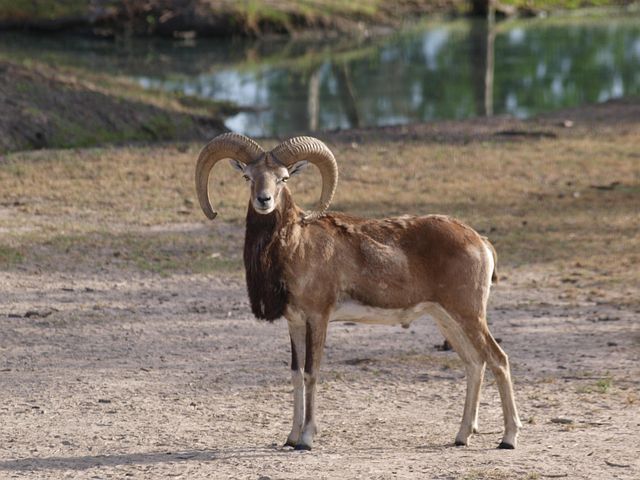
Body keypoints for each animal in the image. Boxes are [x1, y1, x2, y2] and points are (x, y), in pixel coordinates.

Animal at [195, 133, 521, 451]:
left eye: (283, 178)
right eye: (248, 176)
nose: (264, 200)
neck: (297, 245)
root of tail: (480, 241)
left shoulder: (318, 318)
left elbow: (312, 372)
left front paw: (306, 440)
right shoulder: (295, 322)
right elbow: (296, 374)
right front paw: (290, 437)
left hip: (469, 315)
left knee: (499, 360)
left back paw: (508, 439)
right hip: (447, 319)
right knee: (475, 364)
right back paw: (461, 436)